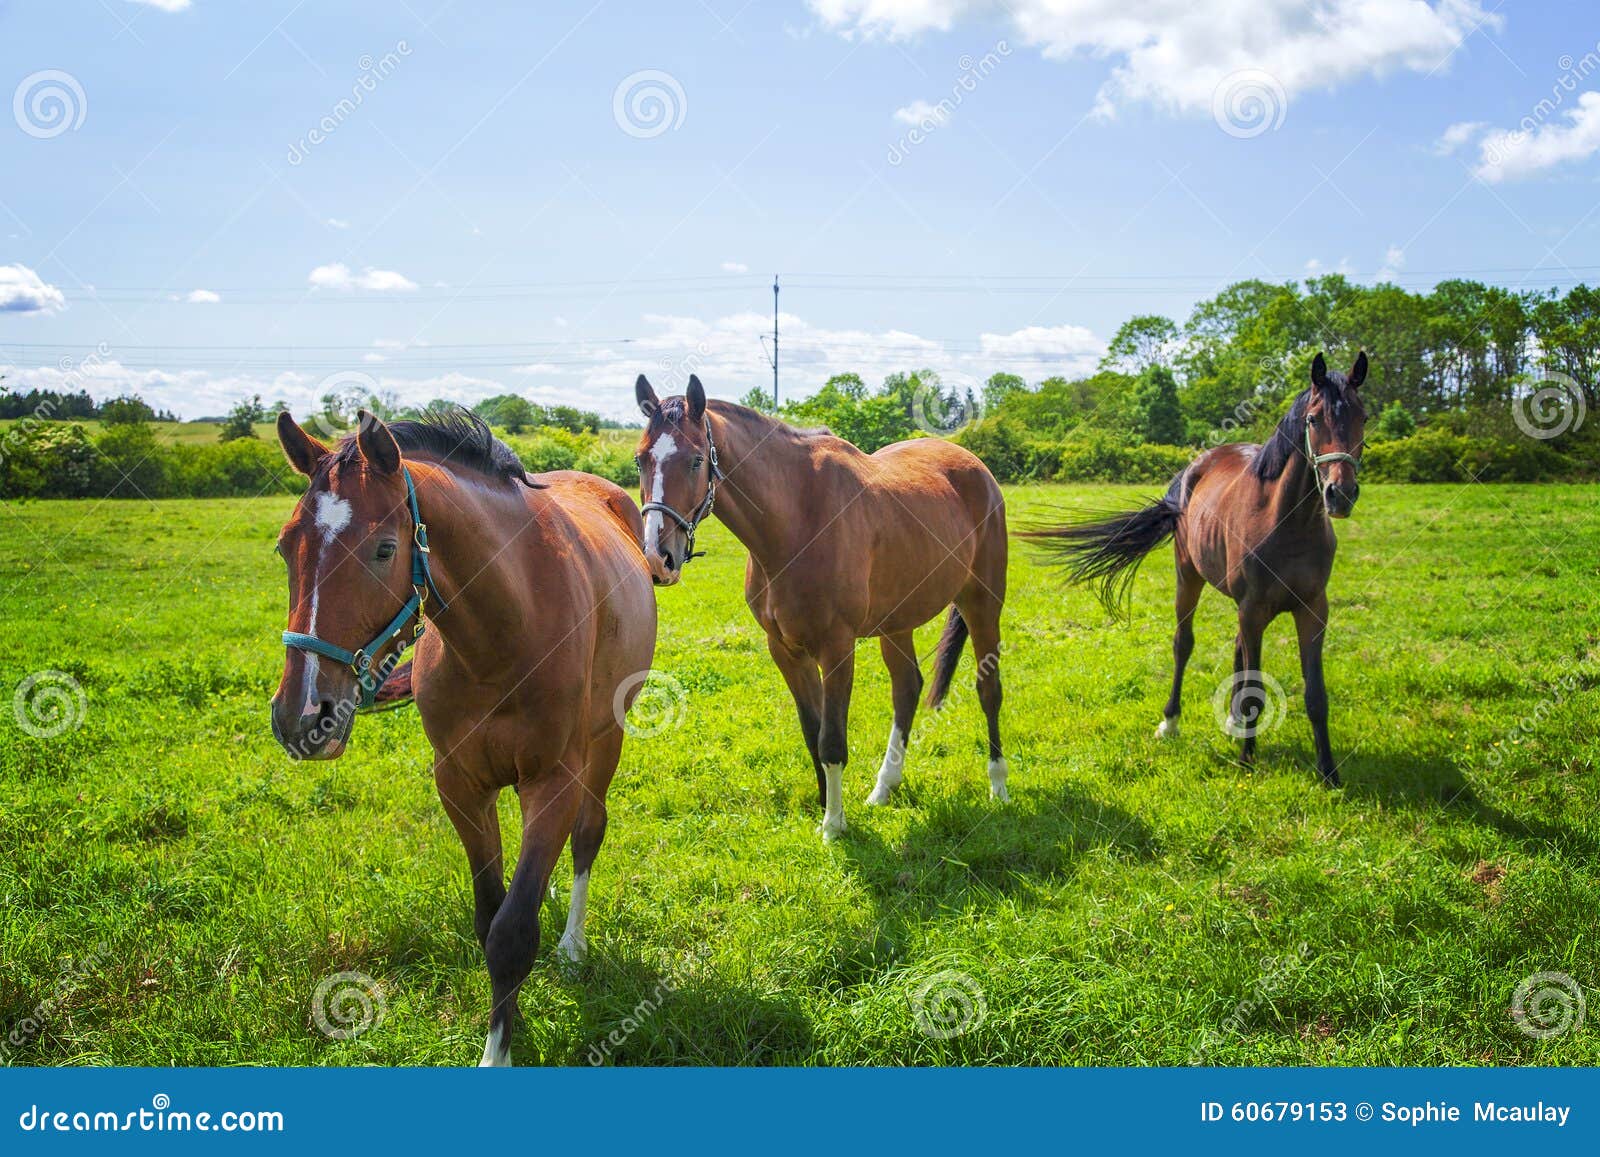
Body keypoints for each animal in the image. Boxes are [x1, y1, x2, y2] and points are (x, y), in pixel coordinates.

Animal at [268, 407, 656, 1066]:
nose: (302, 717)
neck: (505, 631)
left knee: (587, 835)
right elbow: (490, 916)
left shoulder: (554, 780)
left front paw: (498, 1049)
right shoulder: (460, 784)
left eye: (384, 549)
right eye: (285, 546)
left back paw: (572, 944)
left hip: (606, 741)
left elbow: (513, 933)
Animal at [632, 373, 1009, 841]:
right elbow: (813, 732)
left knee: (988, 689)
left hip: (983, 602)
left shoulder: (837, 648)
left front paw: (832, 826)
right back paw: (884, 788)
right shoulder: (786, 650)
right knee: (907, 688)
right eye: (640, 460)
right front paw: (828, 807)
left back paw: (998, 785)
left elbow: (832, 739)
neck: (796, 520)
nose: (658, 557)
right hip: (896, 622)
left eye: (696, 460)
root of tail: (975, 467)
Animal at [1024, 351, 1367, 786]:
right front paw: (1246, 761)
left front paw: (1329, 773)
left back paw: (1235, 721)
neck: (1288, 523)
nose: (1340, 494)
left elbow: (1315, 694)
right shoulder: (1253, 609)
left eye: (1363, 417)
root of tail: (1196, 467)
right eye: (1313, 419)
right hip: (1189, 578)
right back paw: (1170, 724)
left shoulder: (1312, 610)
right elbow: (1253, 685)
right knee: (1183, 643)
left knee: (1236, 649)